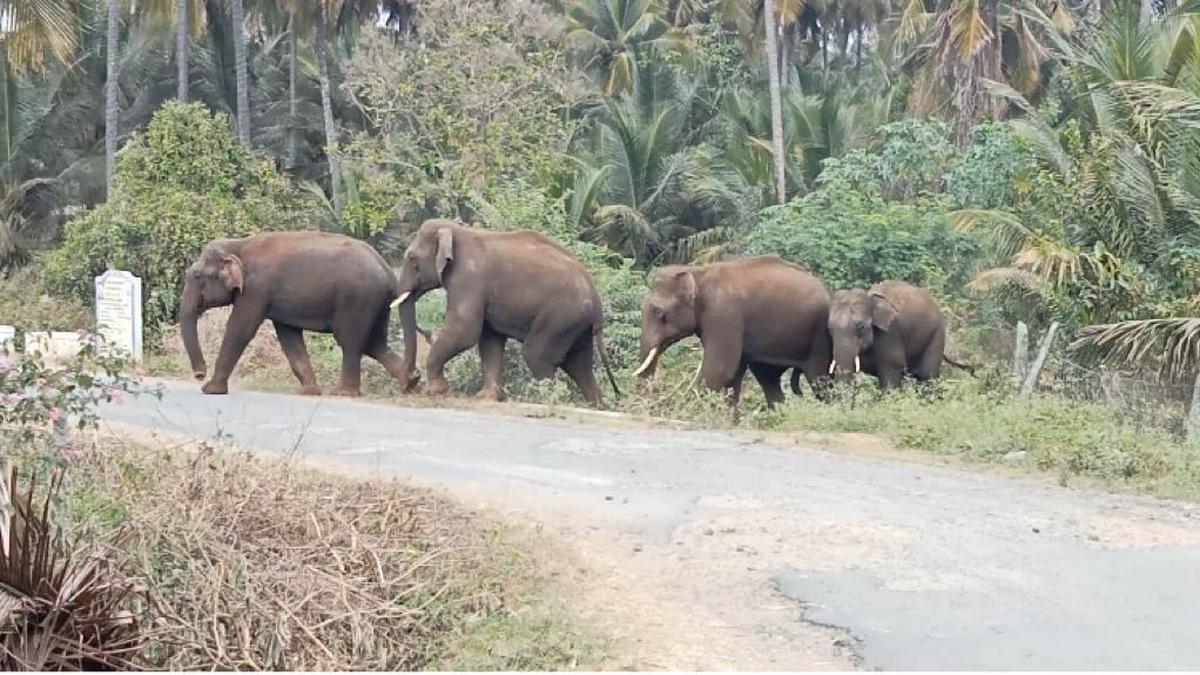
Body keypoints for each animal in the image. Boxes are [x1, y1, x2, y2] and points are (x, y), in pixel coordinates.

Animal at [180, 231, 421, 396]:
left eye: (198, 276)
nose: (199, 374)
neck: (238, 244)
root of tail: (387, 269)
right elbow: (289, 336)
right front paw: (309, 392)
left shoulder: (256, 290)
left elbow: (240, 329)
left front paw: (210, 390)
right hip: (376, 302)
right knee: (375, 343)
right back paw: (410, 382)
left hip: (358, 298)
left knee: (351, 341)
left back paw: (343, 393)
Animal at [391, 219, 619, 406]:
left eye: (412, 258)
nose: (411, 381)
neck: (458, 231)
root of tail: (596, 301)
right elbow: (490, 338)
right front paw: (488, 397)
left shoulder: (468, 279)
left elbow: (464, 331)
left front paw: (435, 391)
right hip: (577, 324)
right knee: (579, 365)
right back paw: (596, 405)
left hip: (561, 316)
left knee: (537, 355)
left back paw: (546, 400)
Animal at [634, 255, 832, 409]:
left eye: (659, 312)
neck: (698, 272)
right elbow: (733, 374)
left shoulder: (723, 314)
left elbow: (719, 369)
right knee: (768, 378)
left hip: (818, 337)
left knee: (820, 381)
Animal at [827, 280, 971, 390]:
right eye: (830, 329)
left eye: (861, 327)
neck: (871, 298)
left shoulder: (890, 334)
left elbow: (892, 370)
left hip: (937, 333)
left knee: (927, 375)